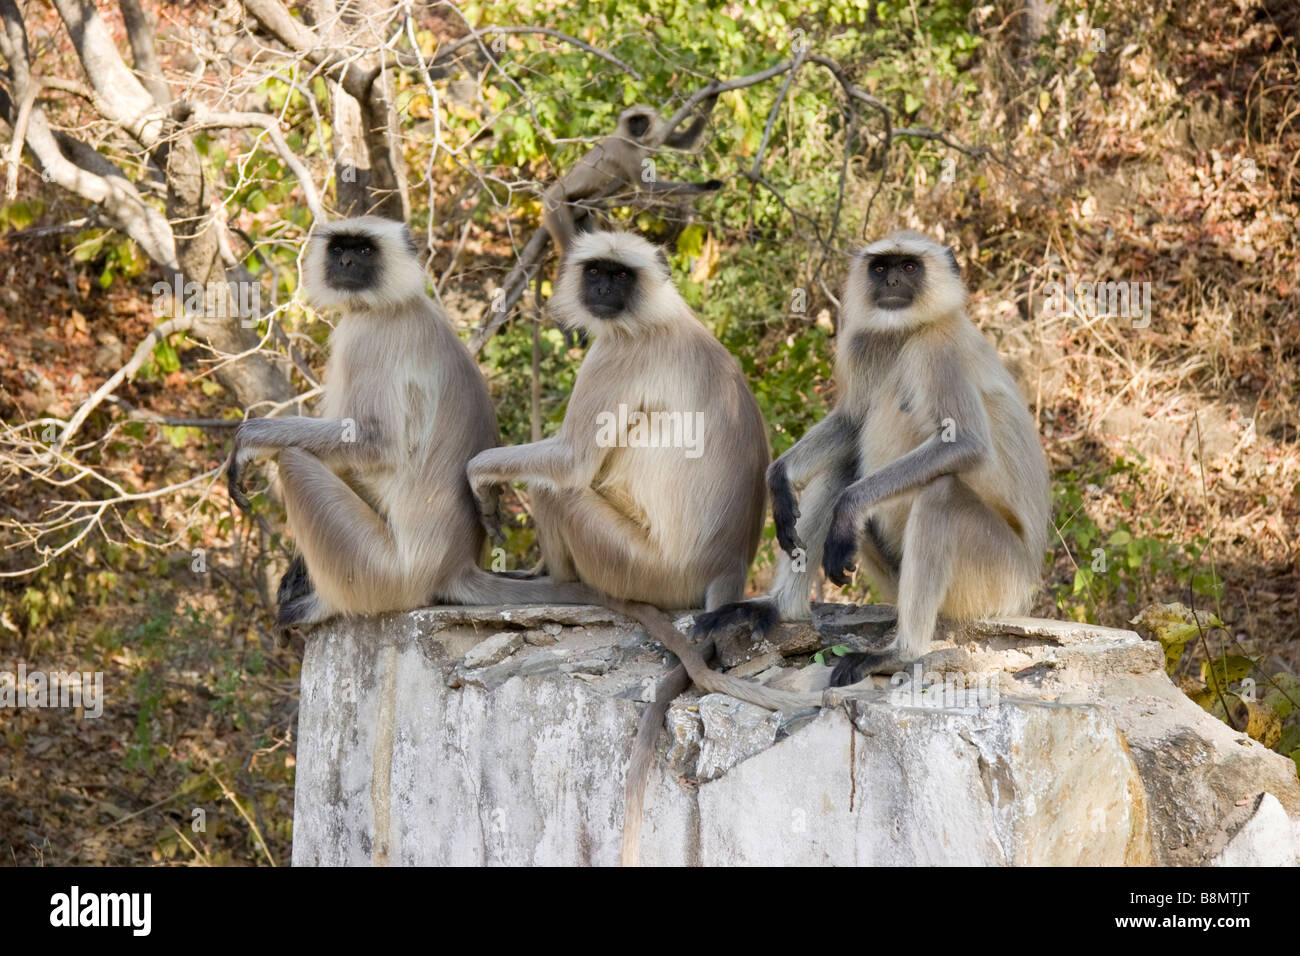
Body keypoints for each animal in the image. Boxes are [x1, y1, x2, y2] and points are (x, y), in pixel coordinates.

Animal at [225, 215, 595, 628]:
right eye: (339, 248)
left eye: (364, 249)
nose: (346, 263)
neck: (395, 303)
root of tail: (454, 567)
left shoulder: (366, 337)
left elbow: (374, 443)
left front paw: (250, 439)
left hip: (380, 571)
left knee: (294, 457)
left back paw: (326, 604)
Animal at [541, 101, 723, 253]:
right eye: (633, 121)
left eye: (642, 120)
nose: (638, 127)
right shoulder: (627, 148)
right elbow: (646, 186)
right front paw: (708, 185)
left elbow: (685, 140)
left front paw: (713, 93)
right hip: (554, 203)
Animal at [694, 230, 1051, 687]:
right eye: (881, 268)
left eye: (910, 267)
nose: (893, 282)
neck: (905, 333)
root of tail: (1026, 585)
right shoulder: (863, 344)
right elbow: (851, 423)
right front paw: (779, 479)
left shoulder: (940, 347)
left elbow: (965, 444)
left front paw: (847, 510)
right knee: (843, 467)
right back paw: (779, 608)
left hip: (998, 580)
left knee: (941, 493)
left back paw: (900, 654)